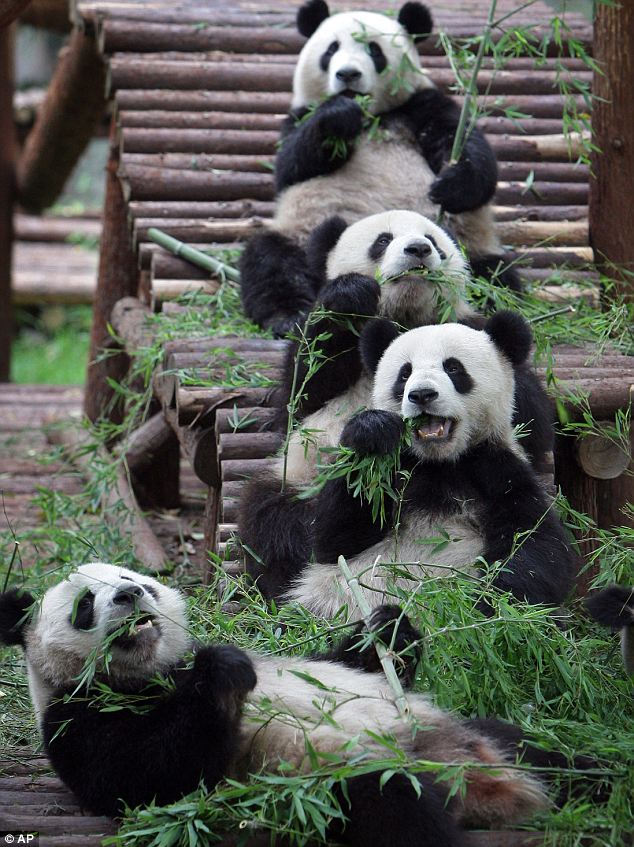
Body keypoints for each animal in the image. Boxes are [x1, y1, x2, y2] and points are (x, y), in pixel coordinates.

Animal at [0, 562, 600, 841]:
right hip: (335, 779)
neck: (153, 673)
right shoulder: (78, 715)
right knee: (397, 811)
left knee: (563, 759)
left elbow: (354, 660)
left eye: (132, 579)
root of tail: (480, 789)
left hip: (482, 736)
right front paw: (223, 672)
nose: (129, 596)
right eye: (84, 604)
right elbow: (146, 775)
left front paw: (387, 625)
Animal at [239, 0, 519, 336]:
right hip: (301, 235)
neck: (373, 117)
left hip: (469, 246)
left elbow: (467, 149)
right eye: (331, 49)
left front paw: (450, 185)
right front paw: (339, 115)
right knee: (271, 261)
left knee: (496, 273)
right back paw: (290, 315)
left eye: (374, 50)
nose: (348, 74)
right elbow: (290, 166)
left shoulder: (421, 106)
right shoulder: (298, 117)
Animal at [240, 311, 575, 610]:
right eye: (404, 373)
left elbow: (535, 545)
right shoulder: (397, 467)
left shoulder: (495, 466)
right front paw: (371, 431)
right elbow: (332, 542)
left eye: (453, 368)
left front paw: (487, 609)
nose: (422, 394)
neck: (438, 462)